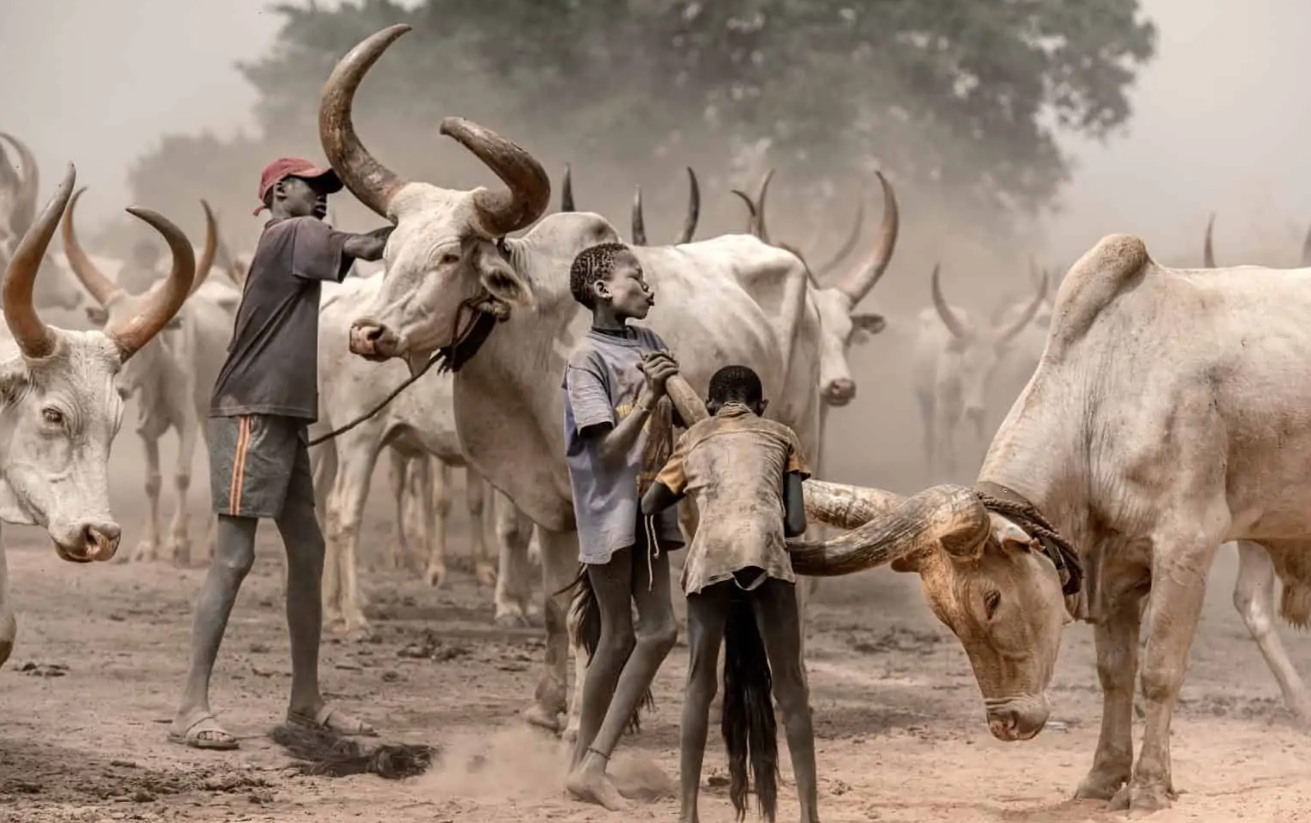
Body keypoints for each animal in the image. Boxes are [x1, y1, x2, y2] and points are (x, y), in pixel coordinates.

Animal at [61, 187, 239, 566]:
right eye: (108, 332)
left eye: (147, 339)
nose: (121, 386)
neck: (158, 377)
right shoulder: (146, 428)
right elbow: (151, 481)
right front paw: (148, 545)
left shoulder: (187, 420)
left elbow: (181, 476)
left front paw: (177, 543)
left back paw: (213, 543)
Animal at [911, 262, 1047, 481]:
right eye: (966, 364)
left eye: (991, 370)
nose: (974, 410)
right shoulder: (942, 411)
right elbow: (949, 457)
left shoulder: (981, 412)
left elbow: (983, 450)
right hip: (924, 399)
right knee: (930, 441)